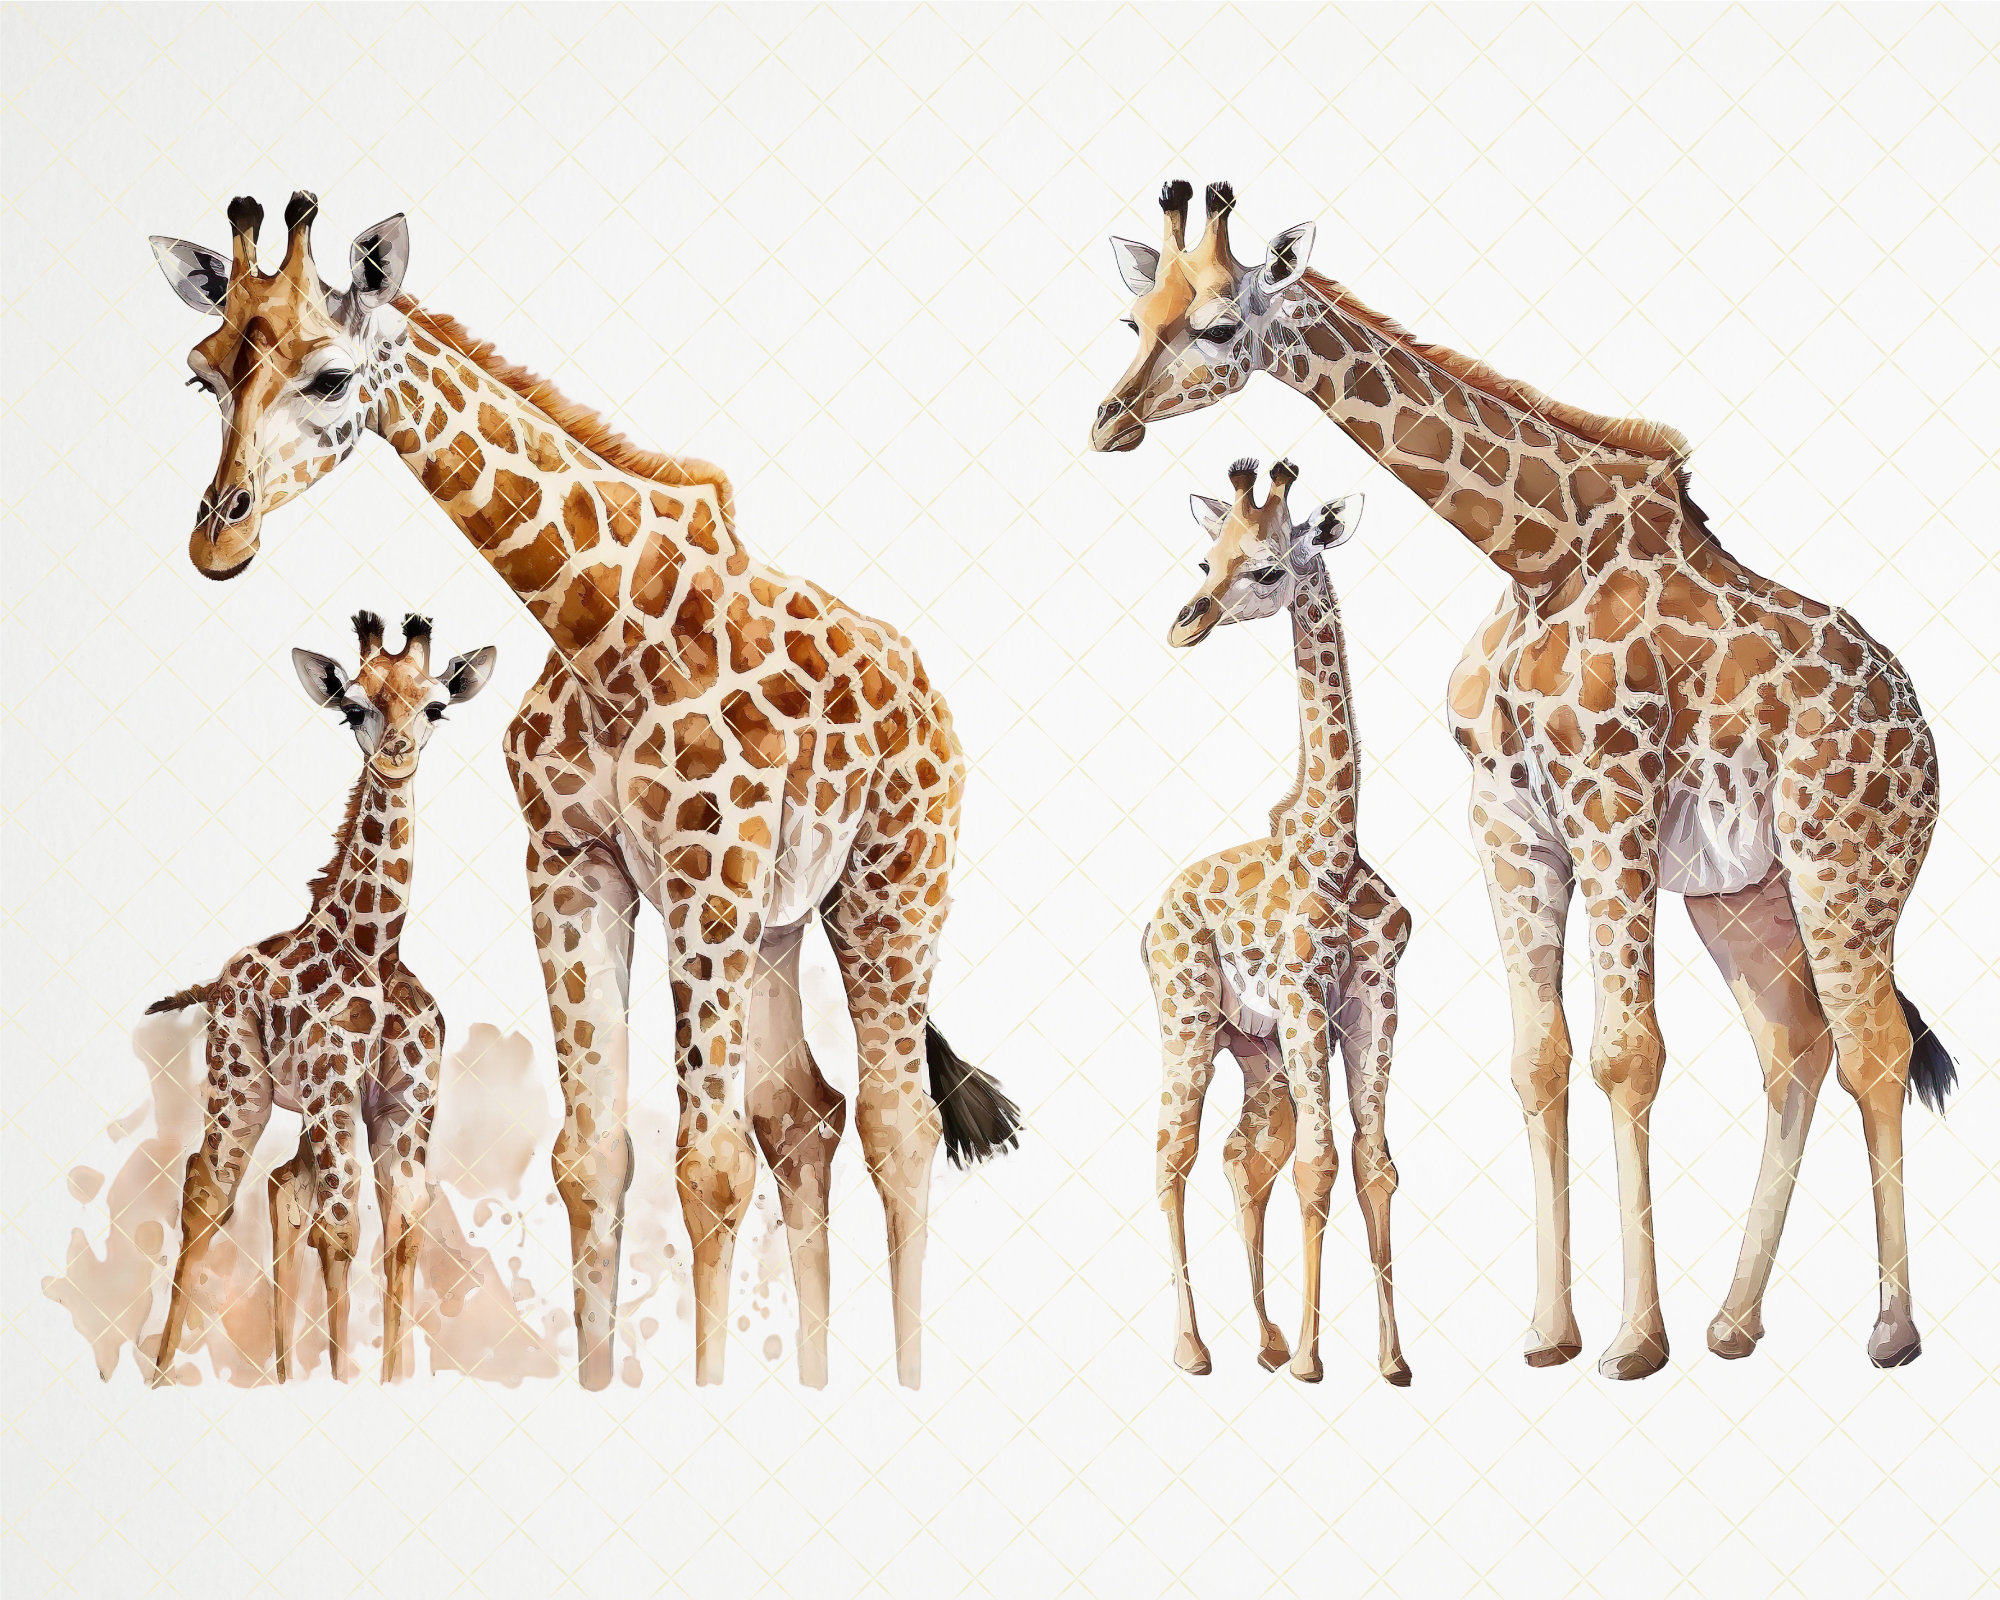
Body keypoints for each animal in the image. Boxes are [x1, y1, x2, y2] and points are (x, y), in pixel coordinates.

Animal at [145, 611, 497, 1385]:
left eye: (436, 706)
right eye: (352, 708)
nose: (395, 755)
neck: (375, 947)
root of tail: (220, 980)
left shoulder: (403, 1104)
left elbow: (402, 1231)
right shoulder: (335, 1084)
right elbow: (342, 1229)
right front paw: (343, 1385)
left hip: (307, 1104)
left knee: (284, 1187)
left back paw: (280, 1379)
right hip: (242, 1083)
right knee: (210, 1188)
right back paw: (156, 1375)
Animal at [1145, 459, 1411, 1386]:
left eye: (1266, 569)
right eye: (1204, 561)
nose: (1184, 624)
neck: (1333, 842)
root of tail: (1154, 918)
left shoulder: (1373, 1002)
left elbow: (1372, 1165)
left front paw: (1391, 1362)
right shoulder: (1303, 999)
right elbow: (1319, 1164)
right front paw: (1310, 1360)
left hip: (1252, 1045)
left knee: (1240, 1153)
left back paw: (1256, 1341)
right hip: (1188, 1018)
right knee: (1174, 1152)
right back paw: (1193, 1350)